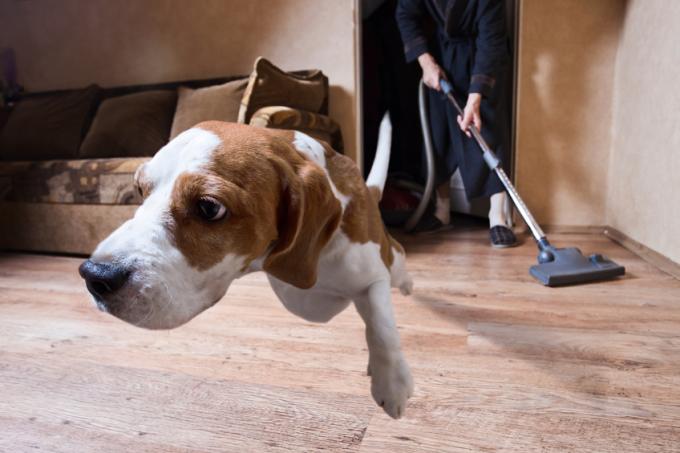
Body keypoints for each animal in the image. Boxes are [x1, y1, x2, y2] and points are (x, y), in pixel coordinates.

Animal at [77, 113, 412, 416]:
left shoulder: (373, 274)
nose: (95, 275)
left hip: (388, 260)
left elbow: (381, 323)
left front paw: (392, 382)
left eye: (209, 207)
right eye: (139, 190)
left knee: (398, 258)